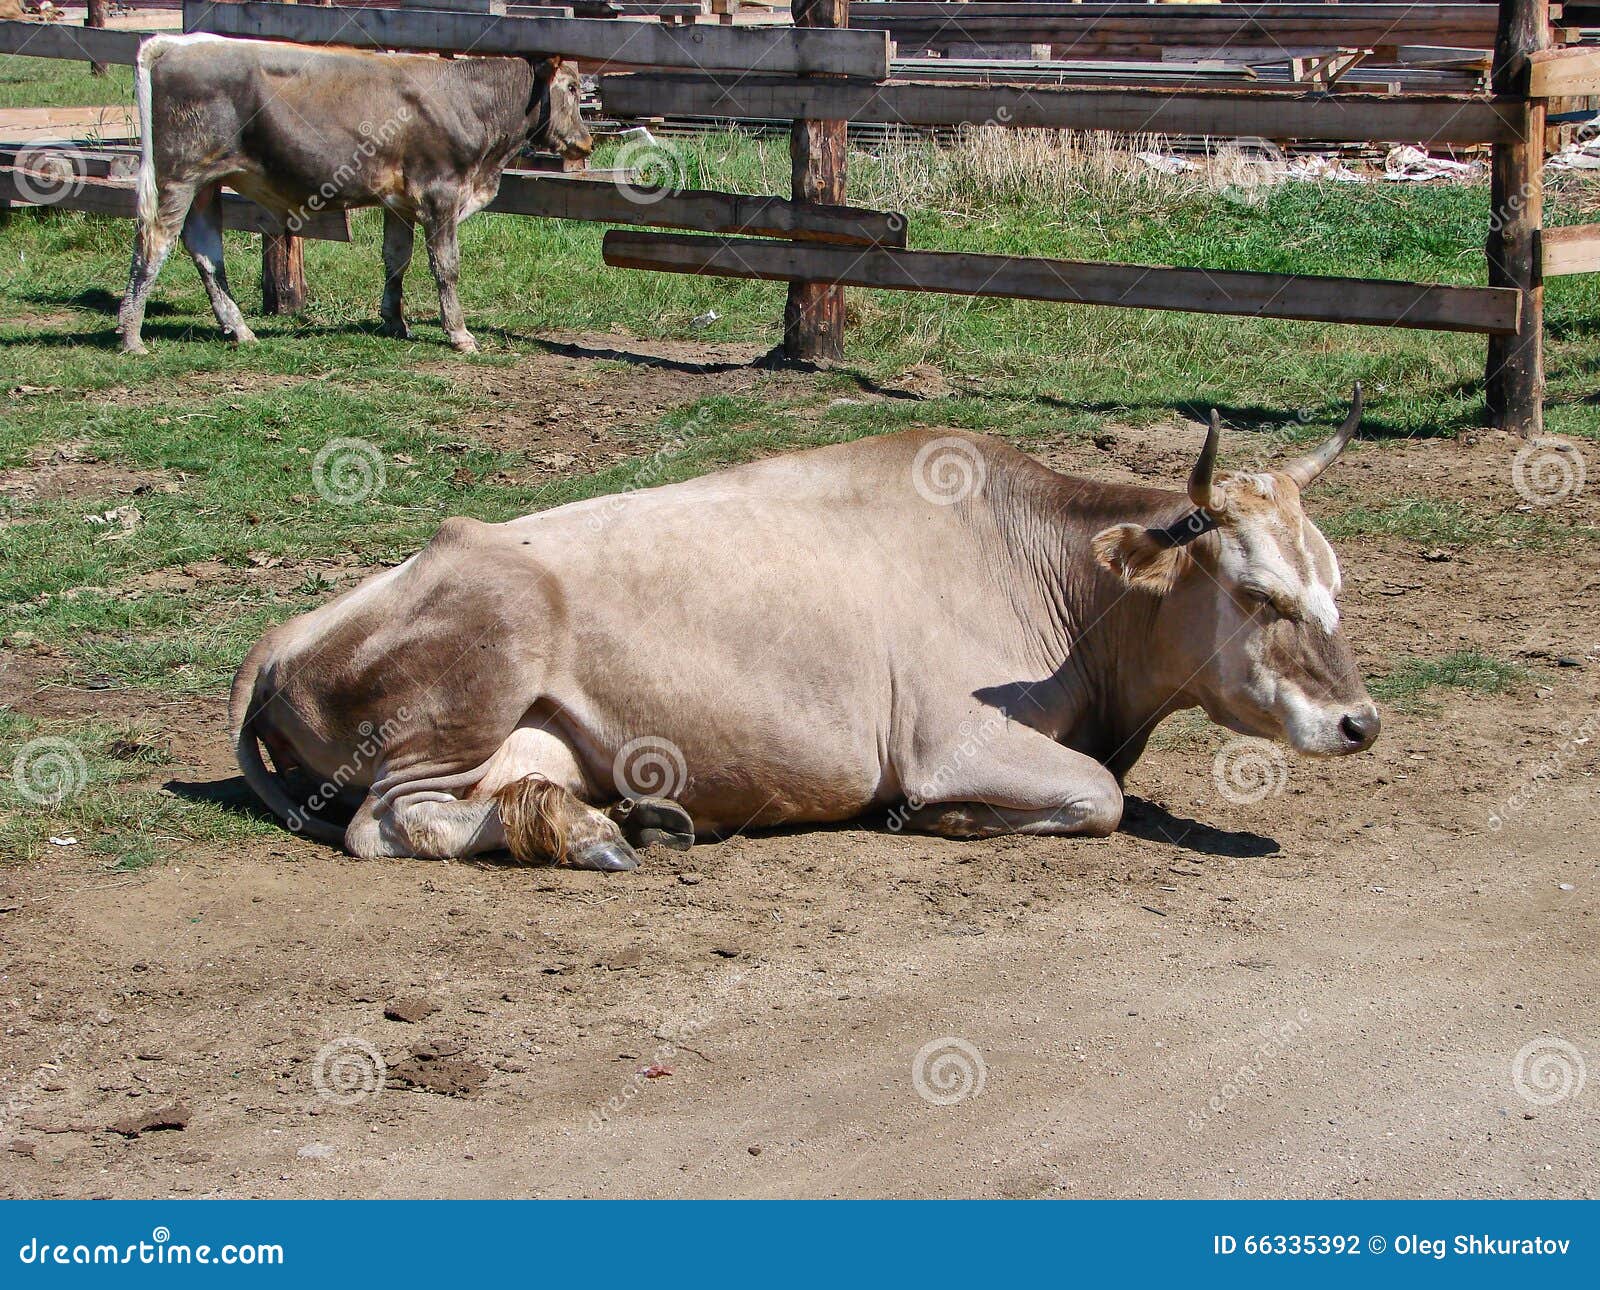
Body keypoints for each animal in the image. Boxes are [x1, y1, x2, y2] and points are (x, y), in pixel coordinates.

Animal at [116, 34, 592, 356]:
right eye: (571, 88)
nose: (587, 142)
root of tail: (179, 42)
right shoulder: (441, 194)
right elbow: (446, 267)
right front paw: (458, 334)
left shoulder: (399, 202)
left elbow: (397, 258)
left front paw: (394, 321)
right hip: (179, 177)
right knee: (153, 243)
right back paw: (131, 335)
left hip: (206, 185)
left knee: (205, 250)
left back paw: (239, 329)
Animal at [231, 390, 1380, 871]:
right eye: (1256, 594)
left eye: (1332, 584)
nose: (1360, 724)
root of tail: (288, 629)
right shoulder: (950, 740)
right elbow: (1098, 796)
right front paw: (945, 823)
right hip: (467, 687)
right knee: (388, 825)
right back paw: (591, 837)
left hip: (538, 737)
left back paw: (630, 817)